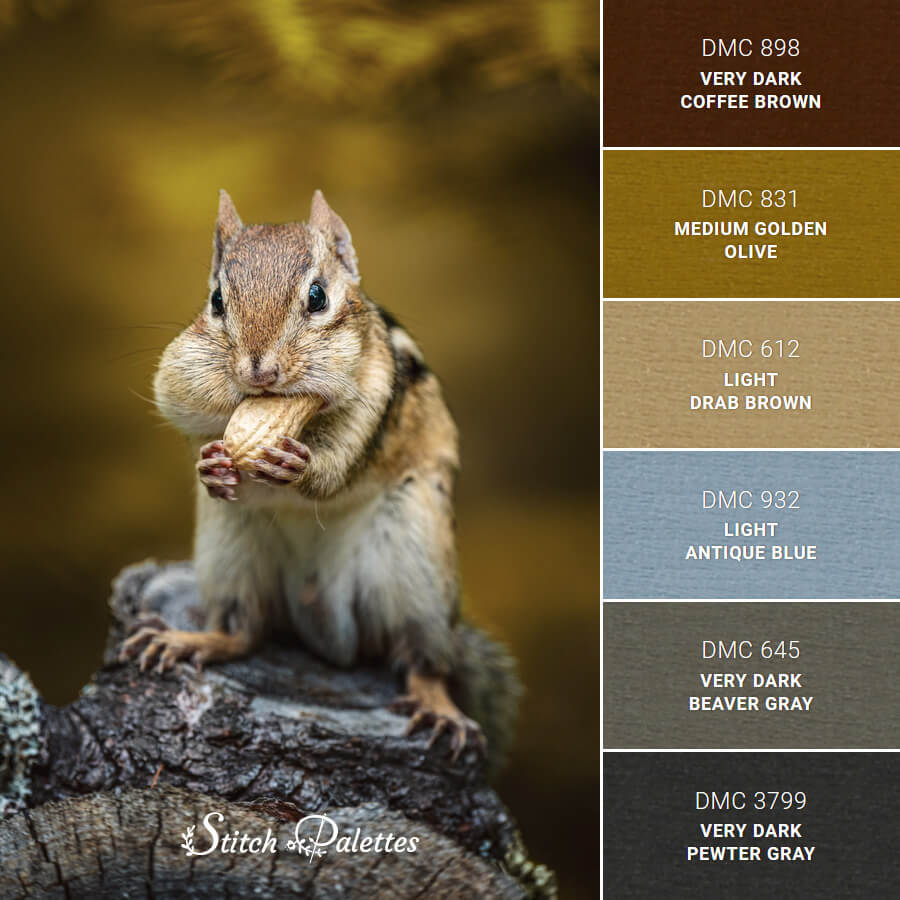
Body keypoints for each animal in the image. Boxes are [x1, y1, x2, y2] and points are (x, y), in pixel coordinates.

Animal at [119, 189, 520, 770]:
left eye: (317, 296)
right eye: (216, 301)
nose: (260, 372)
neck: (294, 415)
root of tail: (320, 614)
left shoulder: (375, 394)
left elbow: (337, 469)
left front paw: (302, 467)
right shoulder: (181, 375)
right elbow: (181, 410)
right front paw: (212, 465)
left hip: (416, 561)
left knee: (420, 661)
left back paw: (438, 705)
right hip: (231, 549)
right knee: (245, 632)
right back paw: (192, 641)